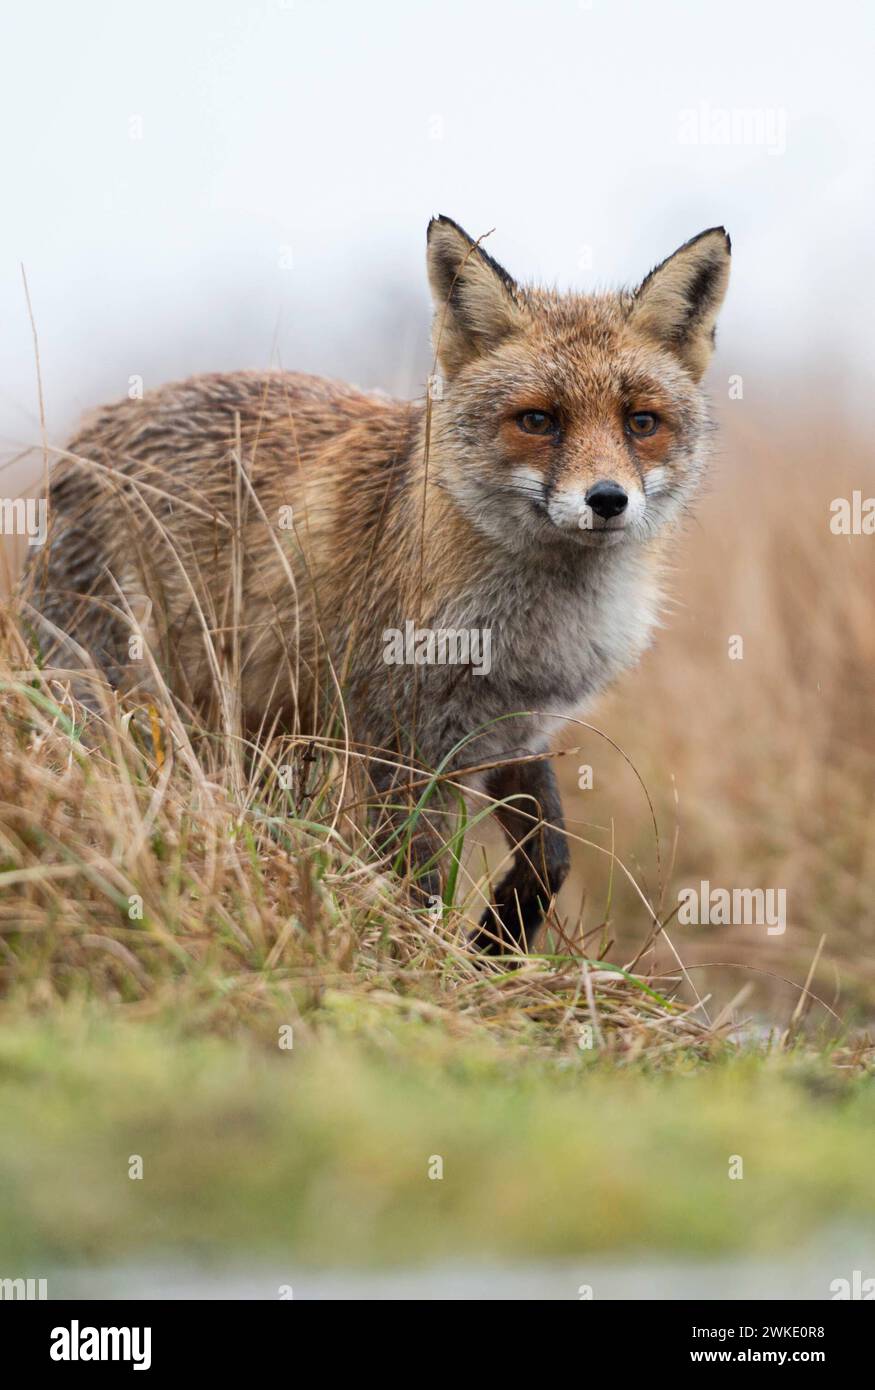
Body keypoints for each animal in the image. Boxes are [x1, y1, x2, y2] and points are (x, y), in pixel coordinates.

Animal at [25, 215, 731, 953]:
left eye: (641, 422)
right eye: (538, 420)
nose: (607, 500)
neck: (531, 630)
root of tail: (82, 439)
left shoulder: (517, 731)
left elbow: (550, 858)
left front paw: (497, 944)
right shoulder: (401, 743)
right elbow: (417, 889)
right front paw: (437, 961)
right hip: (117, 695)